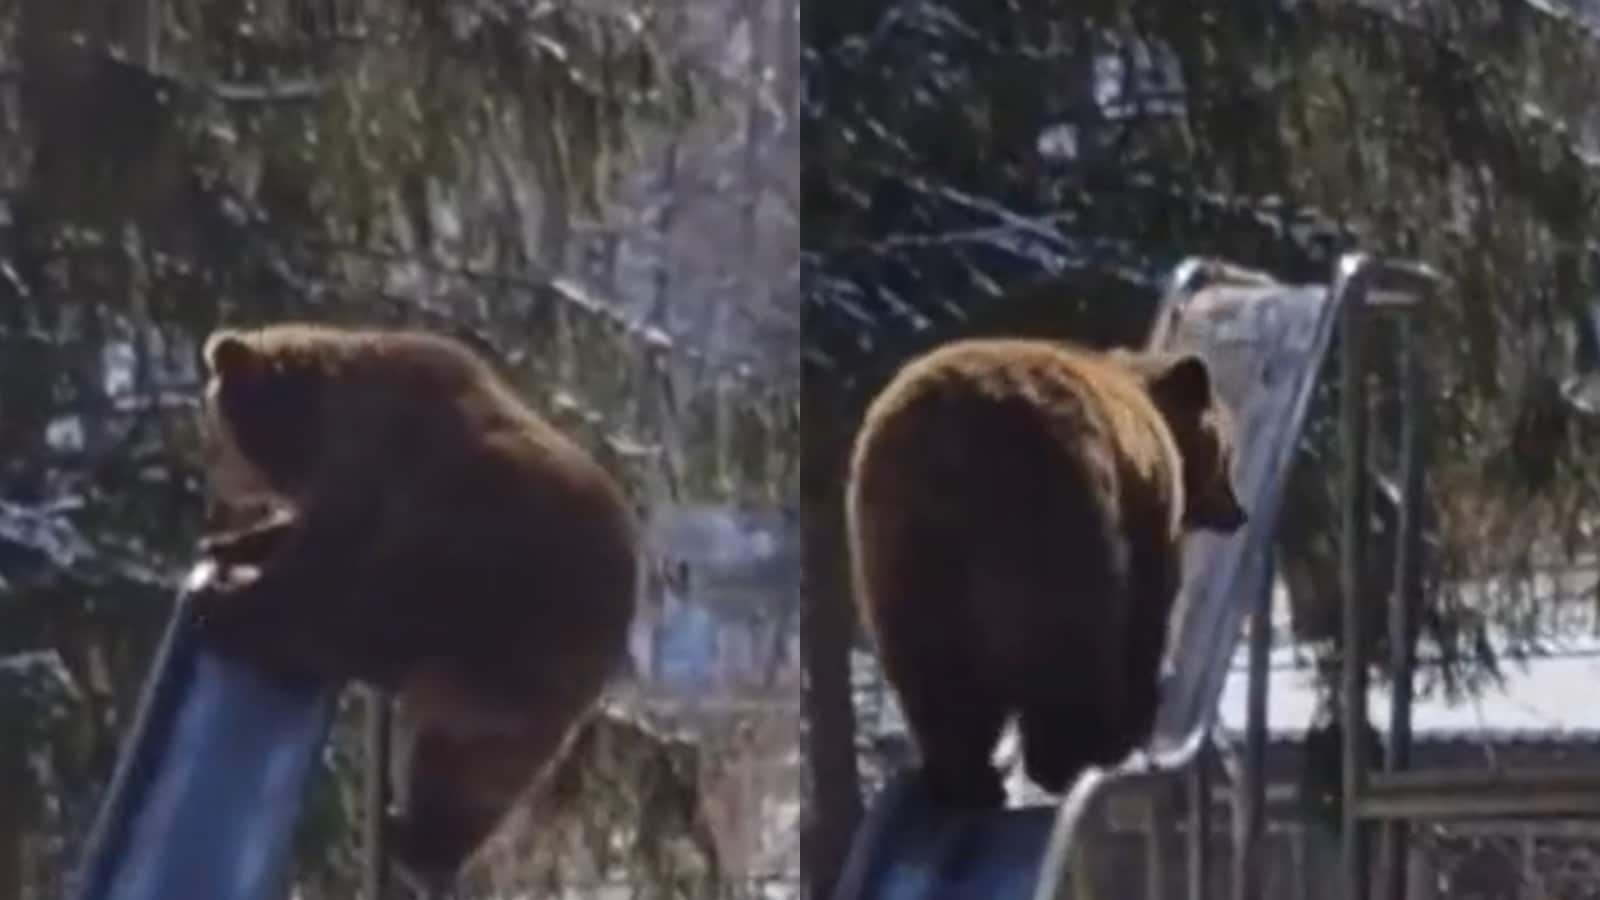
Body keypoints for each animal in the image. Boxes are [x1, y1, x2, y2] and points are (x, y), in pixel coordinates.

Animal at [188, 323, 640, 888]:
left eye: (212, 426)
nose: (211, 478)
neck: (313, 420)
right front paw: (229, 545)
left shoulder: (380, 466)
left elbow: (322, 552)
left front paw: (233, 595)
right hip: (508, 690)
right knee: (459, 770)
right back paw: (423, 846)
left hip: (495, 606)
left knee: (373, 633)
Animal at [845, 337, 1247, 808]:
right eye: (1228, 452)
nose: (1239, 513)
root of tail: (949, 443)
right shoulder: (1146, 510)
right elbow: (1149, 611)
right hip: (1051, 520)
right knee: (1068, 642)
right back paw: (1071, 756)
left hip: (899, 547)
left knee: (932, 672)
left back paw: (966, 779)